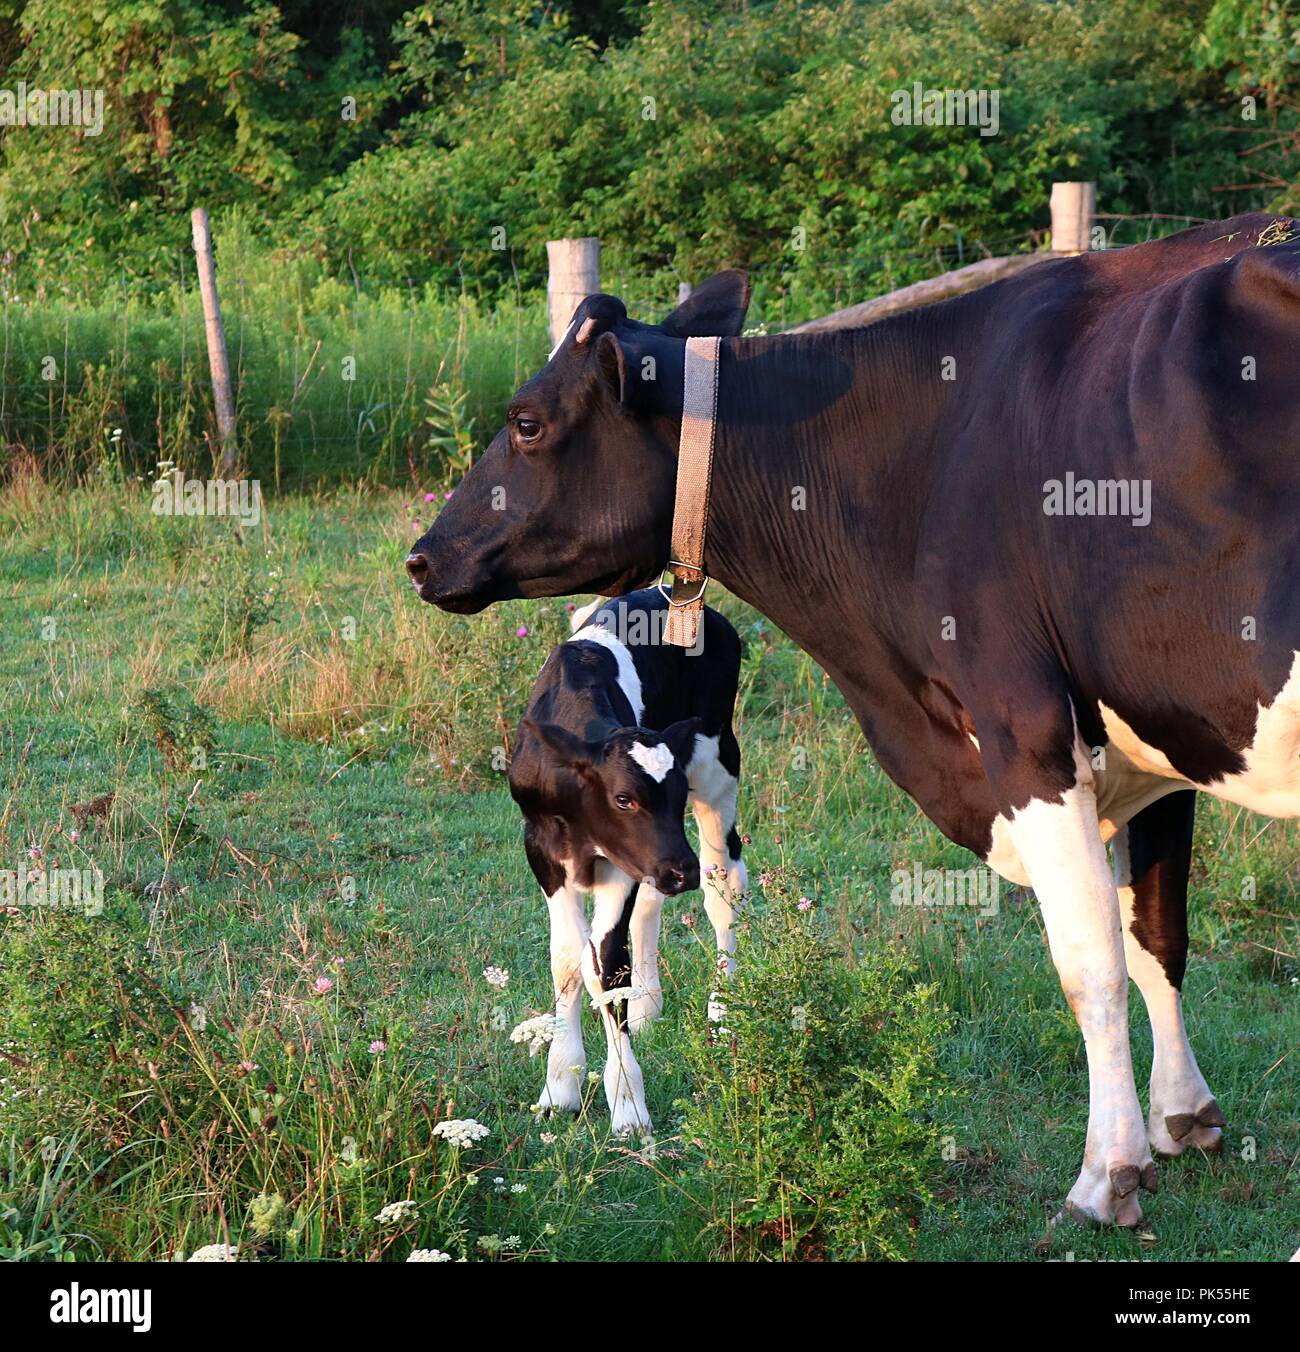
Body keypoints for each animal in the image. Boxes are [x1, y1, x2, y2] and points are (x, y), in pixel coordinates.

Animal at [506, 590, 746, 1134]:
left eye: (676, 795)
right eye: (623, 799)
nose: (683, 871)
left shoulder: (622, 864)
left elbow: (605, 964)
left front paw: (628, 1105)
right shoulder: (542, 851)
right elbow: (569, 959)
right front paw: (561, 1086)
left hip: (719, 768)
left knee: (724, 890)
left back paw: (722, 1011)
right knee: (650, 908)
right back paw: (646, 1008)